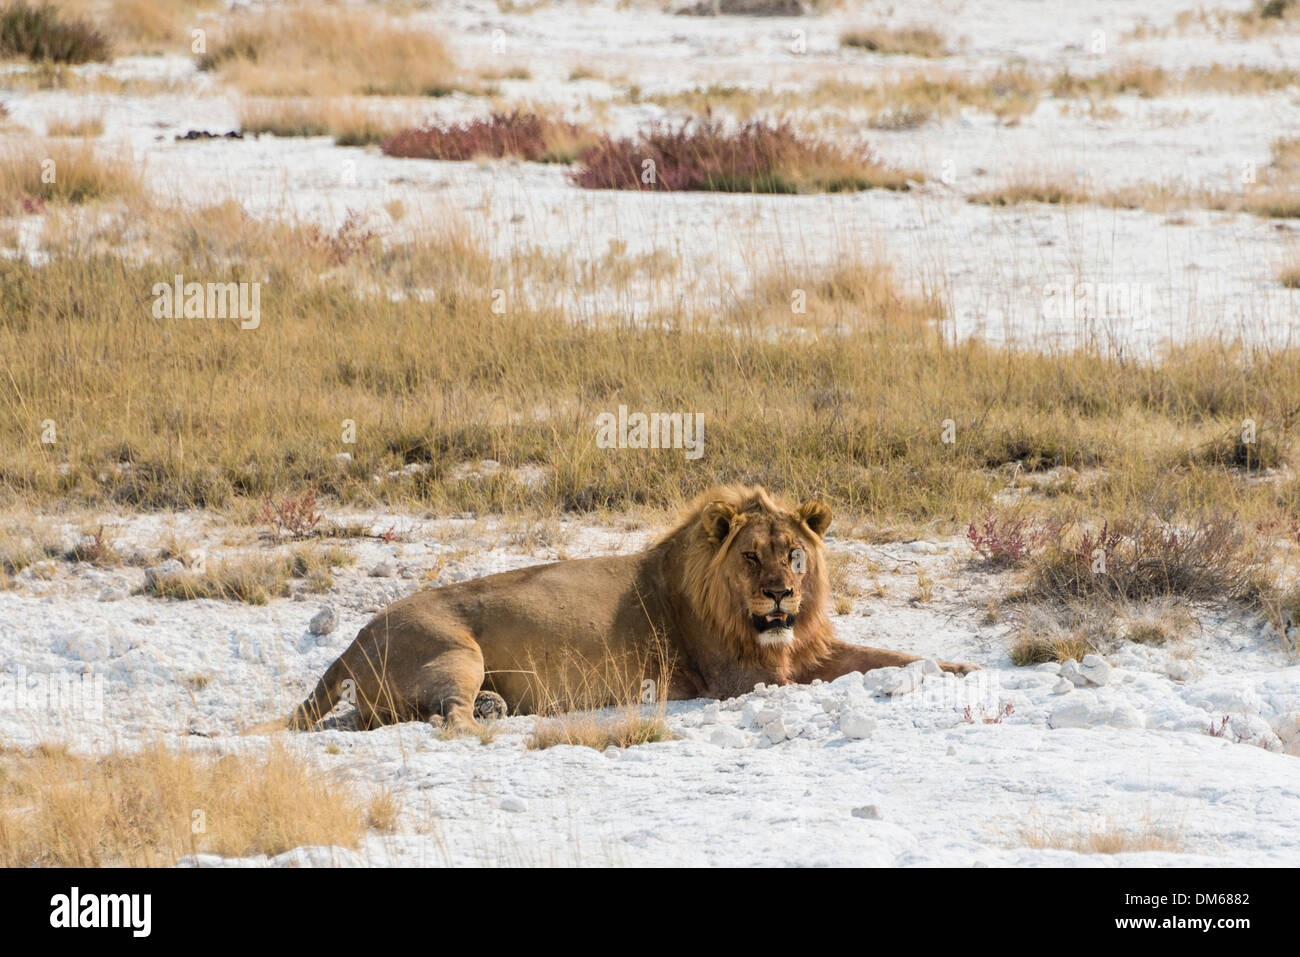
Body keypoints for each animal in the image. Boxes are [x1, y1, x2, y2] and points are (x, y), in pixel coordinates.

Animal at [274, 485, 976, 732]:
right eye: (752, 557)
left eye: (794, 556)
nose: (780, 593)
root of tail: (351, 641)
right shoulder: (745, 677)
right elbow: (852, 669)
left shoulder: (806, 644)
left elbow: (892, 654)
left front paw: (963, 670)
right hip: (453, 651)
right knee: (445, 719)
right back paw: (491, 721)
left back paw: (495, 707)